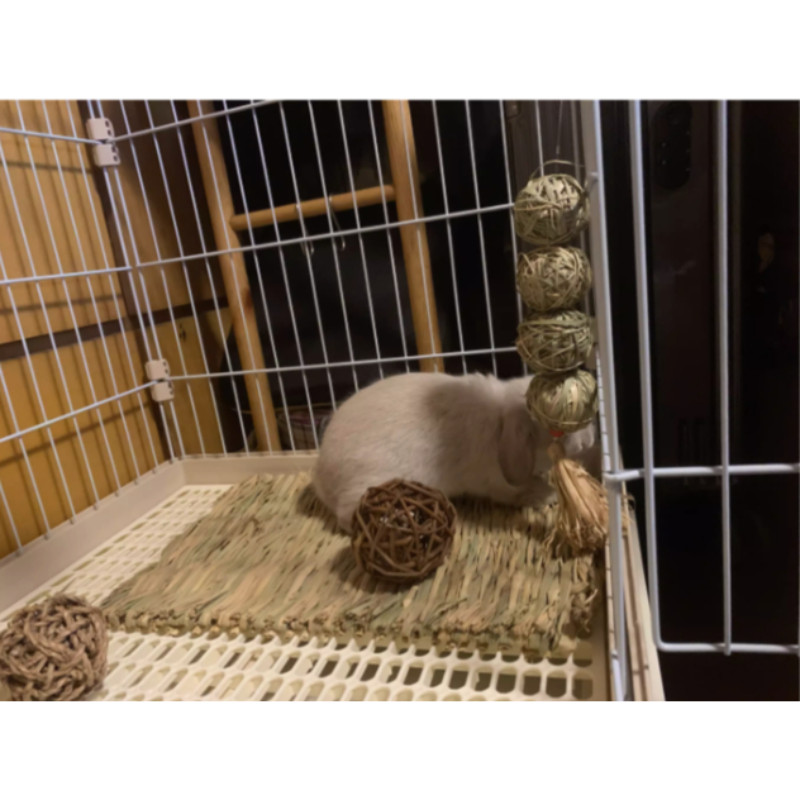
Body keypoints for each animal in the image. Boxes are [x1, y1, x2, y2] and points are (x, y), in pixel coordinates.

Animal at [311, 372, 600, 531]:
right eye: (557, 427)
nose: (588, 442)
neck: (500, 421)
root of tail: (323, 479)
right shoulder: (499, 483)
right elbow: (521, 490)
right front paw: (546, 494)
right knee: (348, 517)